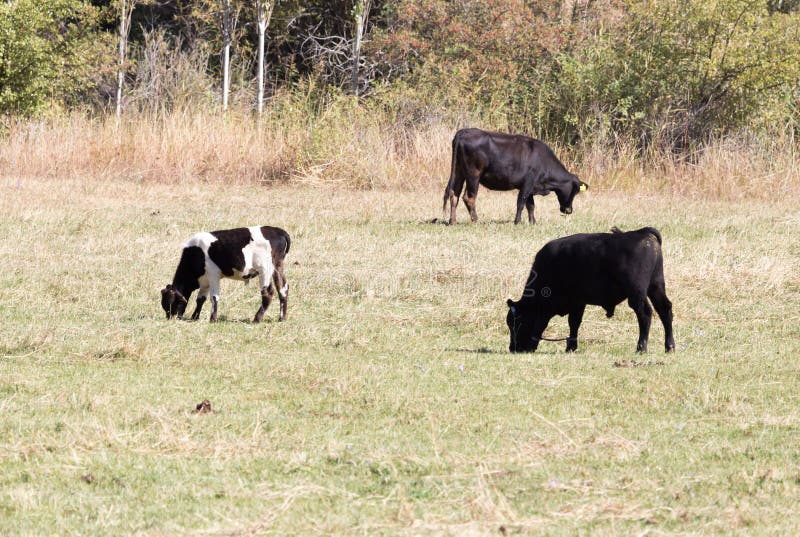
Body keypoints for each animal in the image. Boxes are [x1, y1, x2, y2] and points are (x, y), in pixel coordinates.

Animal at [161, 226, 290, 323]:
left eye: (171, 303)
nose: (170, 318)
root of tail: (278, 231)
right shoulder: (204, 281)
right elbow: (200, 299)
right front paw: (194, 317)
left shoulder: (213, 275)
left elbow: (214, 298)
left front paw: (213, 319)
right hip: (278, 267)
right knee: (282, 289)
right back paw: (282, 318)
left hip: (265, 269)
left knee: (268, 293)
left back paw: (257, 319)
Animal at [442, 128, 588, 225]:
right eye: (575, 191)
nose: (568, 210)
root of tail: (464, 131)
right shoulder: (527, 184)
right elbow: (521, 203)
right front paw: (517, 221)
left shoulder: (531, 187)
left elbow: (531, 205)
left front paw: (532, 222)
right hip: (473, 175)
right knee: (469, 197)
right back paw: (475, 220)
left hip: (459, 172)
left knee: (453, 194)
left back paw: (452, 221)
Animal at [506, 227, 675, 353]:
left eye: (518, 322)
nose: (514, 348)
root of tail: (642, 233)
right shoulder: (578, 303)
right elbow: (574, 323)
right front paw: (571, 347)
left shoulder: (574, 302)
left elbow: (571, 322)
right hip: (656, 286)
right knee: (665, 310)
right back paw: (669, 347)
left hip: (636, 294)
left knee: (645, 313)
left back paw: (641, 347)